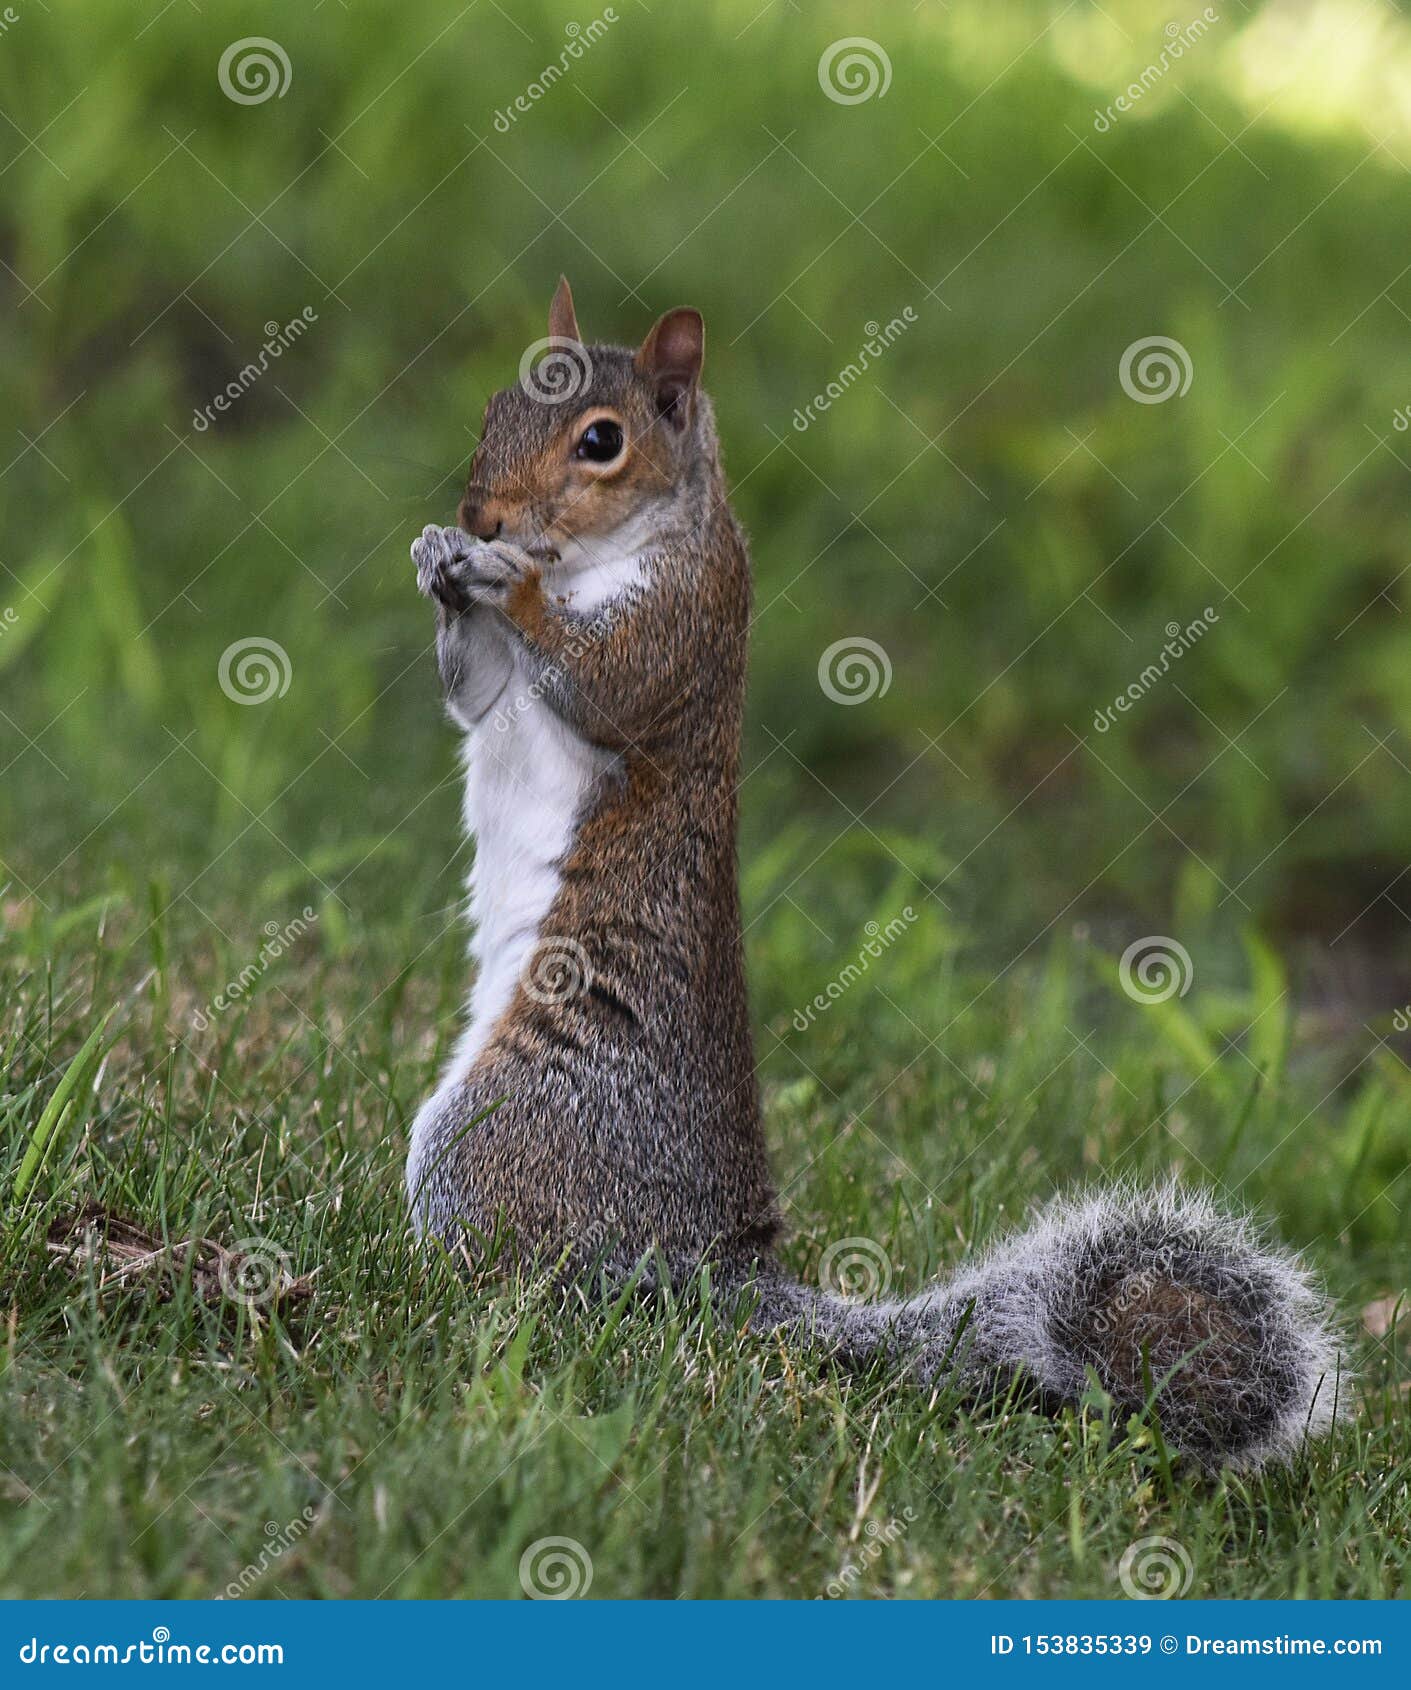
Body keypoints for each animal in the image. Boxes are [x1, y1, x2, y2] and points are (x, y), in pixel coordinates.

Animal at [406, 277, 1341, 1472]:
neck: (606, 553)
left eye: (601, 441)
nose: (480, 516)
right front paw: (439, 564)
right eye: (496, 402)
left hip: (497, 1132)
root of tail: (696, 1269)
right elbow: (476, 693)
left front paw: (505, 584)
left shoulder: (683, 623)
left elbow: (601, 681)